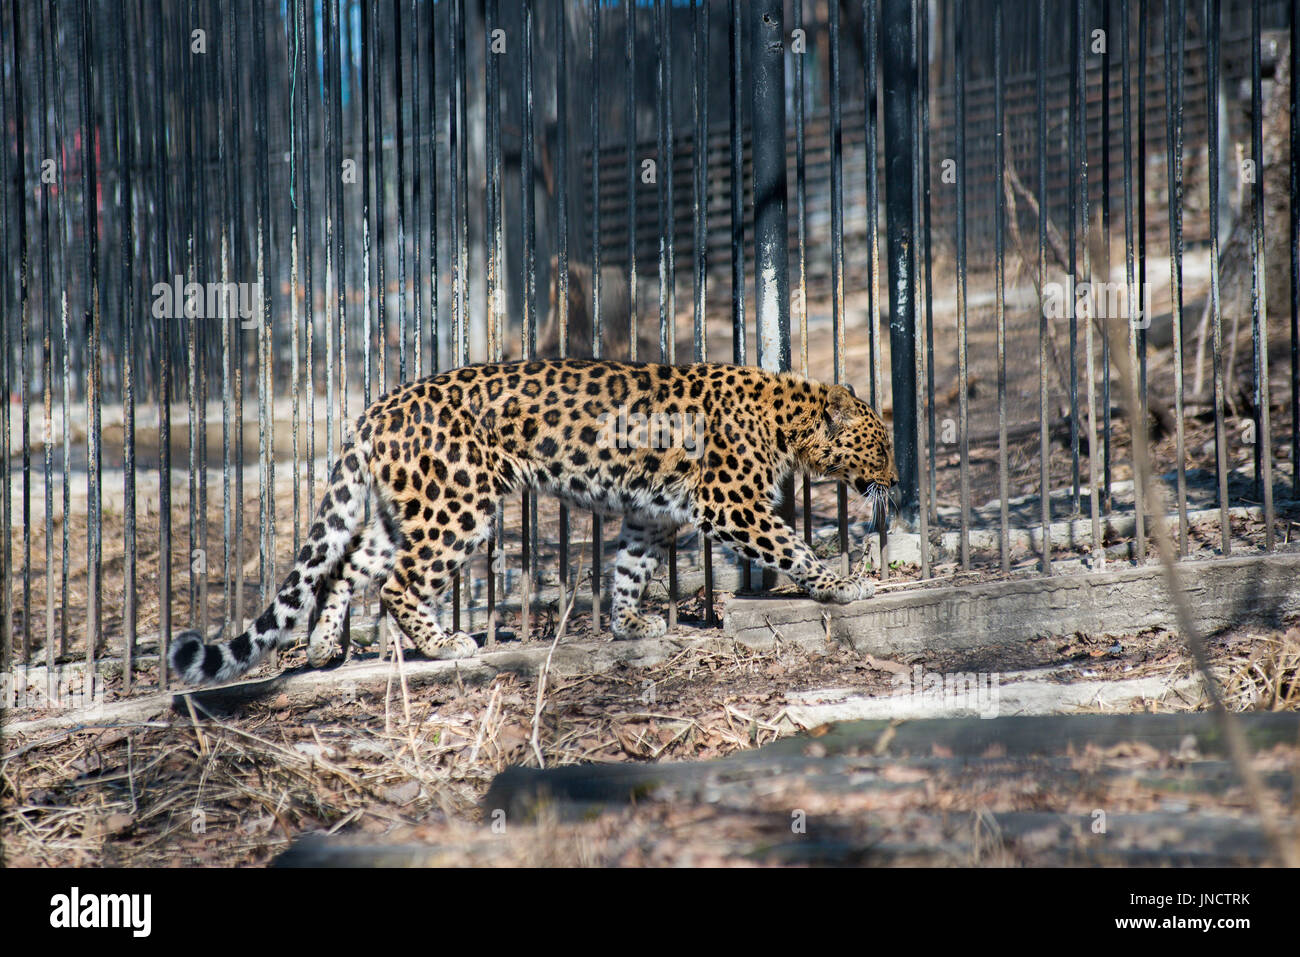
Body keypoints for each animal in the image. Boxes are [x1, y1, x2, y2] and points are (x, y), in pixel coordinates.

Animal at [169, 358, 897, 685]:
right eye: (882, 445)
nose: (893, 481)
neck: (788, 418)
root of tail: (378, 407)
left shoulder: (647, 513)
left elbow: (629, 568)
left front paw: (629, 624)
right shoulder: (732, 504)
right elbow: (791, 545)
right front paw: (841, 585)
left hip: (409, 507)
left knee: (350, 564)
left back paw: (325, 648)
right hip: (460, 504)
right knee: (401, 580)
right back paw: (445, 645)